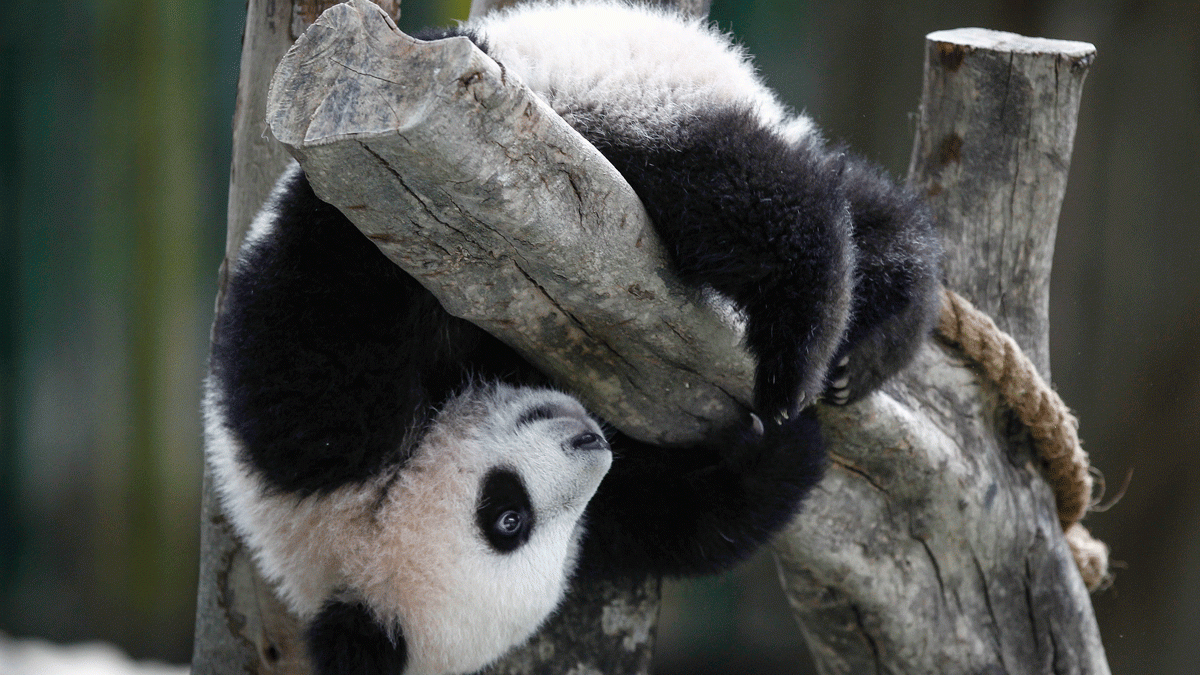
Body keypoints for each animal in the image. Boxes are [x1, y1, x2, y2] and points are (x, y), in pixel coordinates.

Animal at [203, 2, 941, 675]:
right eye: (512, 522)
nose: (588, 443)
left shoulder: (298, 425)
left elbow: (328, 328)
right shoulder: (608, 520)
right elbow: (679, 521)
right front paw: (782, 455)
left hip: (584, 124)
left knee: (733, 190)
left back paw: (808, 340)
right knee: (832, 188)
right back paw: (875, 333)